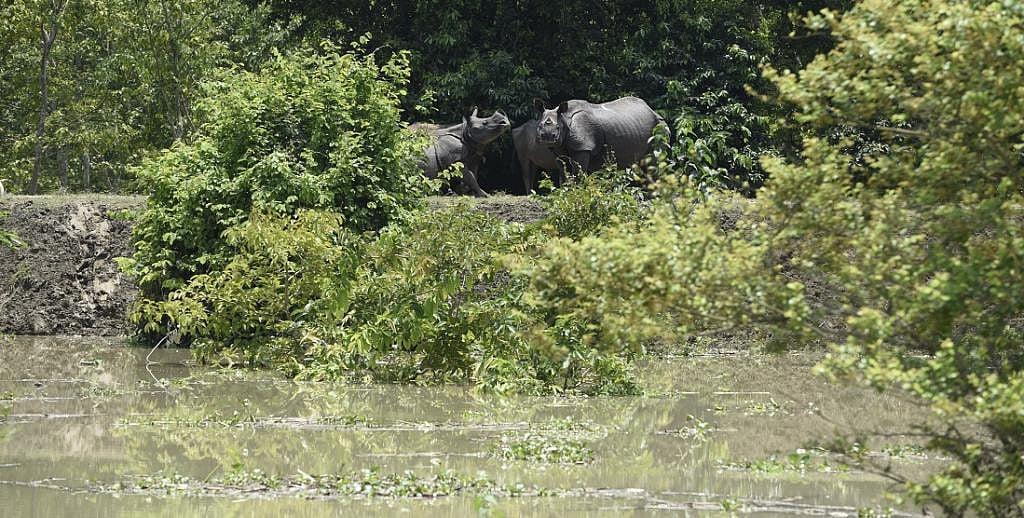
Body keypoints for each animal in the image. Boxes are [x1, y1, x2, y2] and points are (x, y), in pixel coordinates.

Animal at [533, 96, 666, 176]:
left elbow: (578, 174)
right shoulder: (559, 149)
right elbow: (564, 174)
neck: (564, 119)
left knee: (653, 163)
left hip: (660, 127)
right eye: (539, 126)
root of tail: (652, 110)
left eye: (558, 128)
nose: (548, 137)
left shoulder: (582, 147)